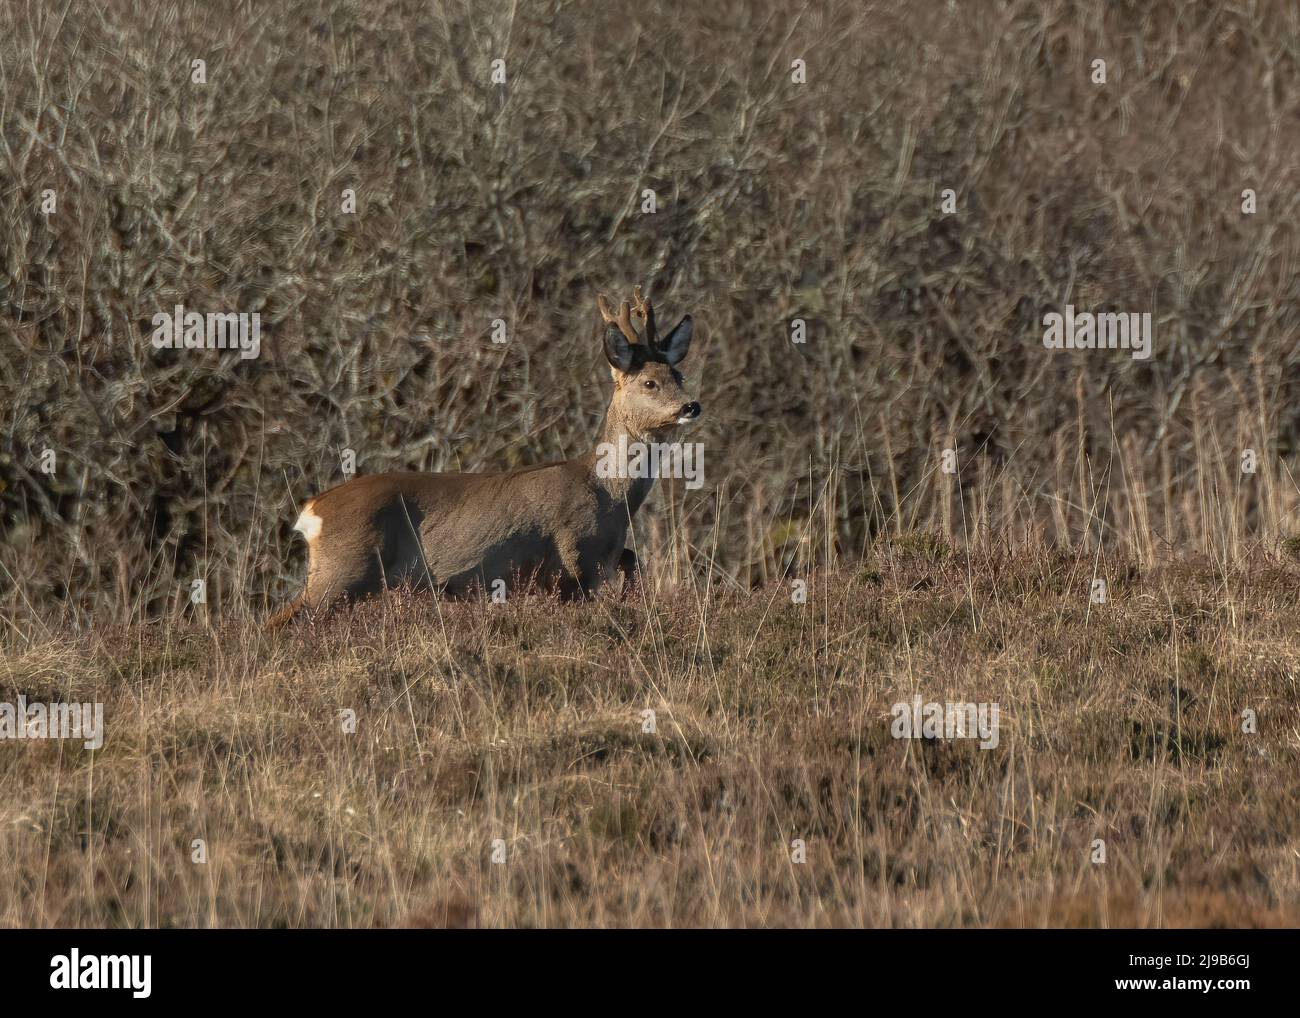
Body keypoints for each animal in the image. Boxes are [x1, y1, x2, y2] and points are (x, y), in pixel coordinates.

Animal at [266, 288, 700, 627]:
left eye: (678, 376)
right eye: (650, 382)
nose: (691, 405)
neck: (609, 493)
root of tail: (312, 511)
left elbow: (634, 562)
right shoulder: (576, 560)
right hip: (342, 572)